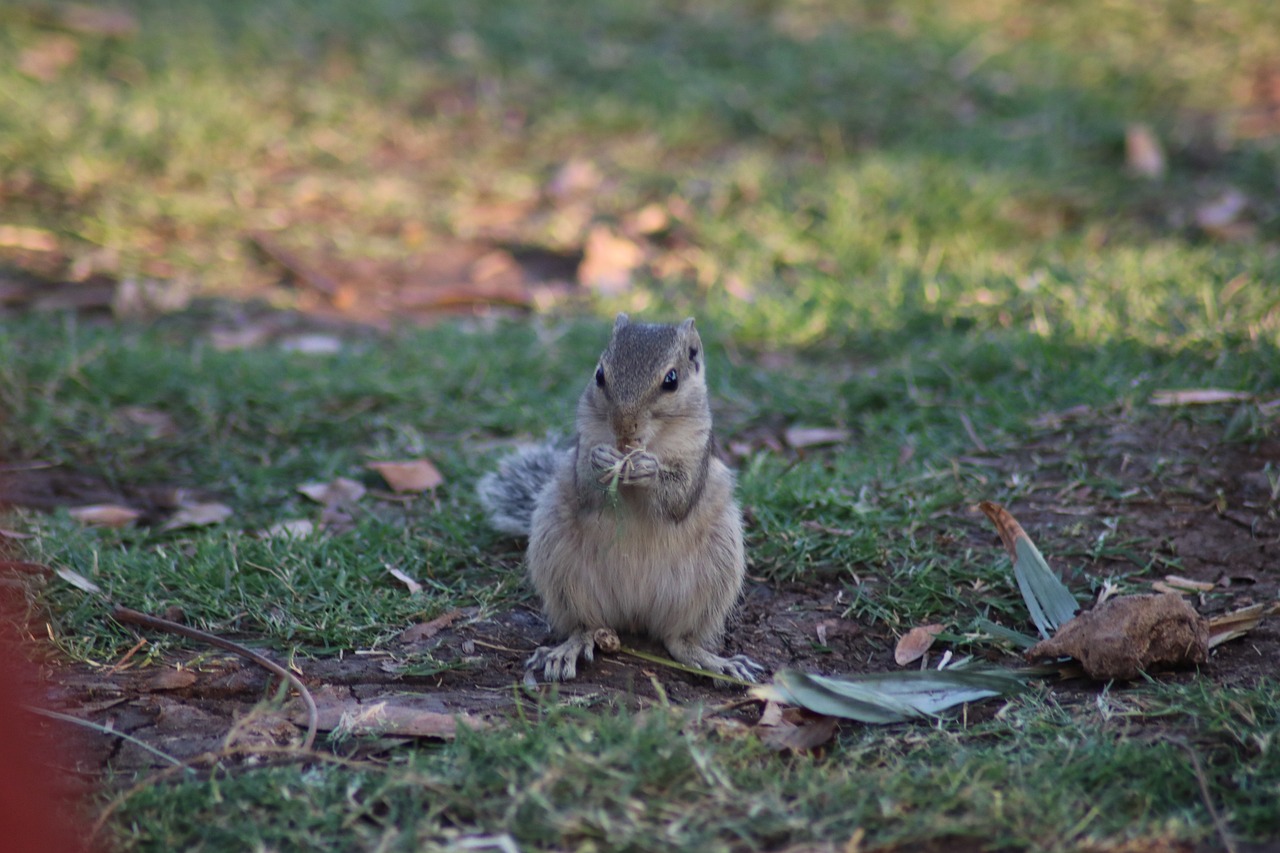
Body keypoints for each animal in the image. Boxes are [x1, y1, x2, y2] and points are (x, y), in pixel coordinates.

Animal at [478, 313, 763, 683]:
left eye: (671, 380)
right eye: (600, 374)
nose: (624, 428)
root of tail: (635, 614)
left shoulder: (697, 454)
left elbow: (680, 499)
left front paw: (648, 469)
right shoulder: (584, 443)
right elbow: (585, 488)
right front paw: (600, 460)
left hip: (714, 577)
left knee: (678, 640)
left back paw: (715, 661)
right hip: (560, 569)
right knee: (585, 625)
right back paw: (567, 649)